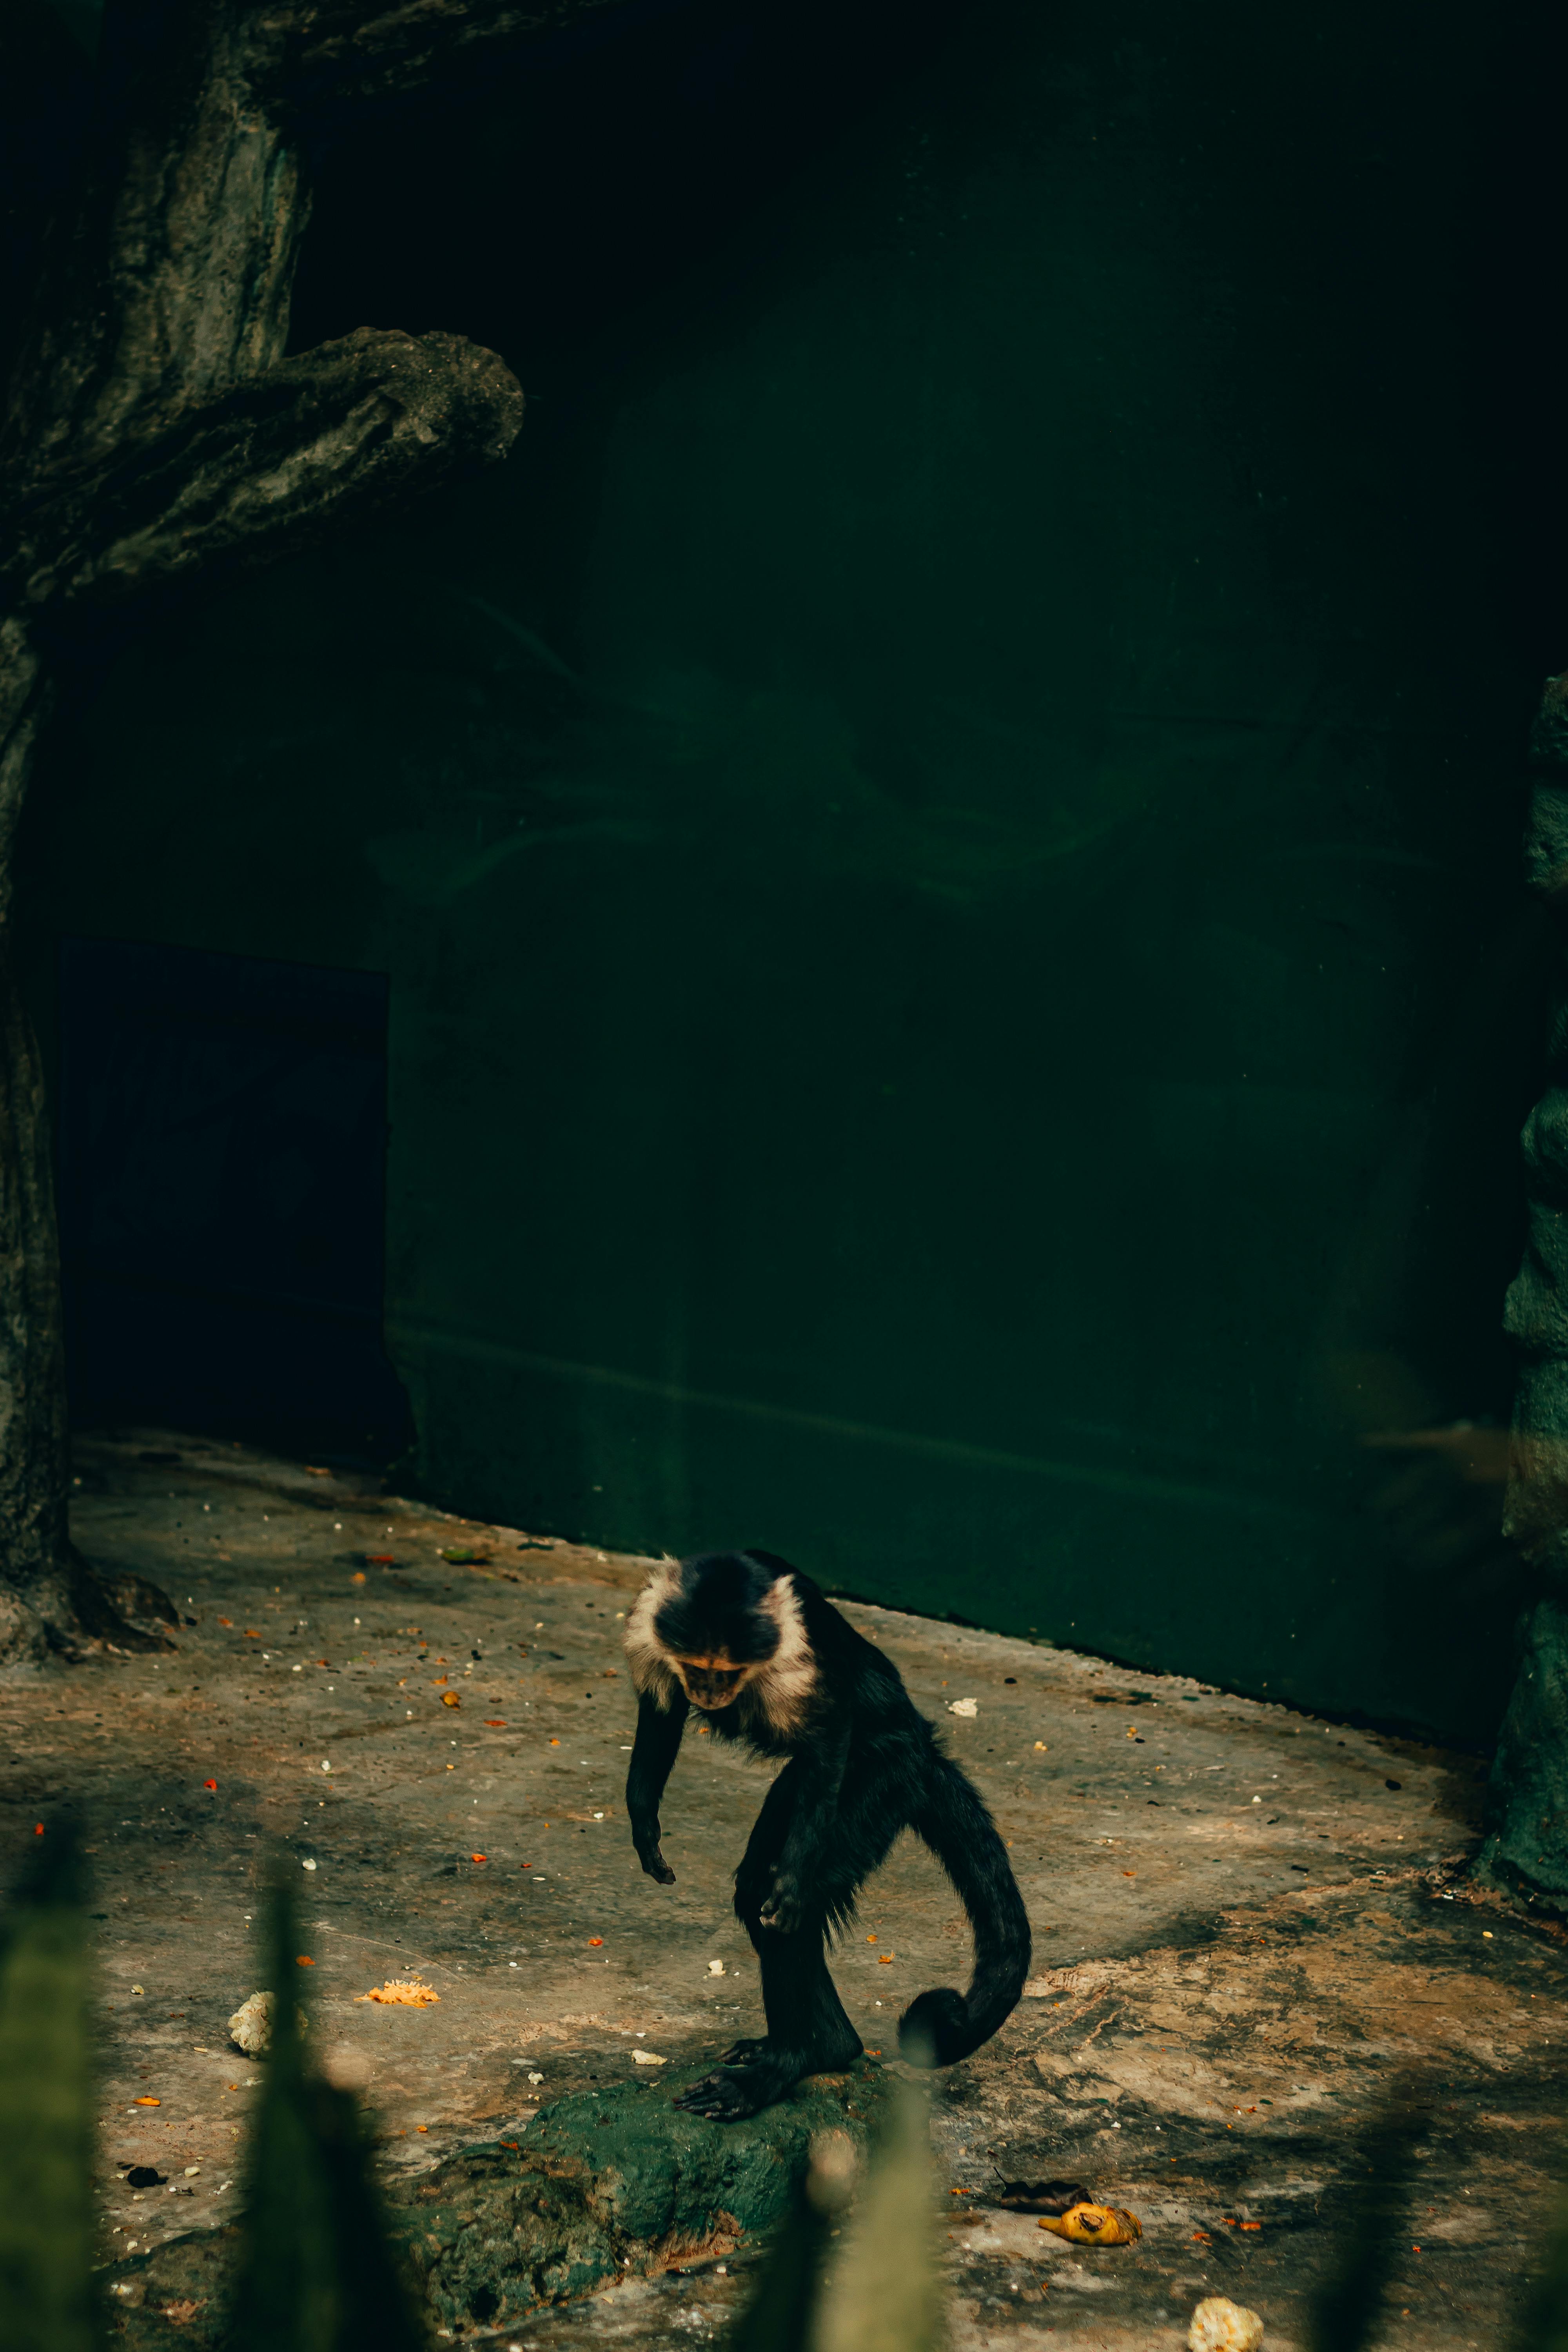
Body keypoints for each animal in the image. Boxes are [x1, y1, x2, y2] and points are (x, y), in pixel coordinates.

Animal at [623, 1547, 1032, 2120]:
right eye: (697, 1668)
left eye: (727, 1672)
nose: (709, 1691)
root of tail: (922, 1744)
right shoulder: (651, 1626)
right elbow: (661, 1710)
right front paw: (643, 1821)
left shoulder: (795, 1663)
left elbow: (829, 1737)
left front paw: (792, 1883)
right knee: (756, 1888)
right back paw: (824, 2048)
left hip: (884, 1773)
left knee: (785, 1893)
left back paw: (793, 2062)